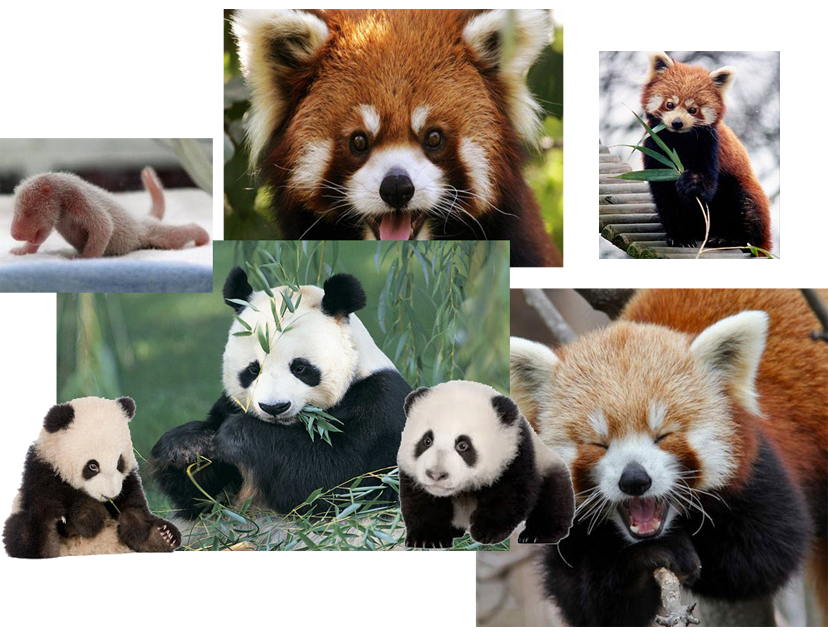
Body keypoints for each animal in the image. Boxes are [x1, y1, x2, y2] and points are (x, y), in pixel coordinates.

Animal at [3, 397, 181, 558]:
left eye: (119, 462)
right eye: (92, 466)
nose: (111, 495)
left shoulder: (128, 482)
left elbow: (135, 505)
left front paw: (134, 523)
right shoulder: (42, 475)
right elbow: (59, 497)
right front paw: (88, 517)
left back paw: (162, 536)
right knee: (22, 532)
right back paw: (50, 526)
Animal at [149, 266, 412, 518]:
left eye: (300, 368)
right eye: (253, 370)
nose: (274, 407)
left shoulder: (381, 407)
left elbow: (339, 481)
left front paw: (236, 435)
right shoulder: (228, 404)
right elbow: (205, 499)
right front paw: (187, 446)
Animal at [397, 380, 575, 548]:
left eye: (463, 445)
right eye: (427, 440)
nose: (436, 474)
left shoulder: (516, 455)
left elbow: (511, 495)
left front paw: (486, 531)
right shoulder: (412, 476)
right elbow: (420, 502)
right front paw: (428, 538)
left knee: (555, 498)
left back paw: (538, 534)